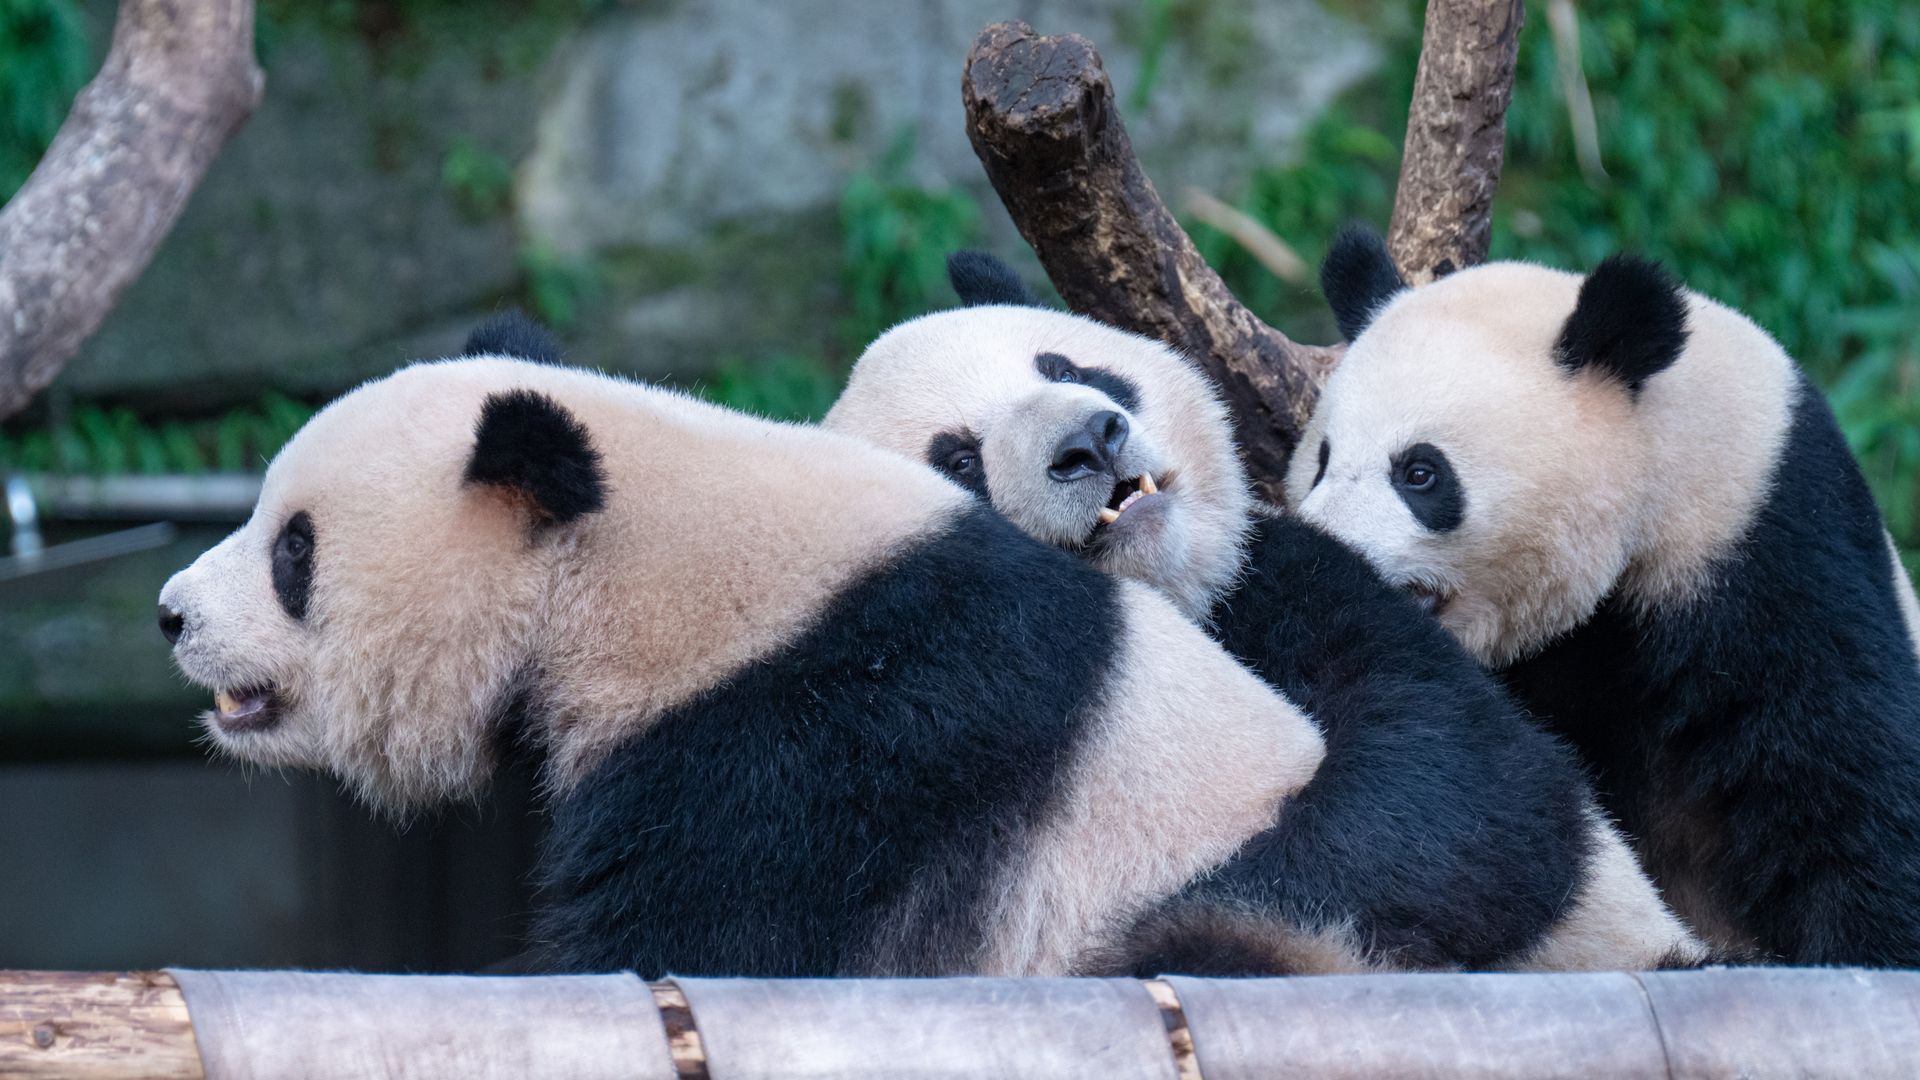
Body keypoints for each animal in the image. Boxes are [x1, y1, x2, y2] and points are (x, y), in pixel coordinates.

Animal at [822, 254, 1706, 971]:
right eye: (959, 458)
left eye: (1068, 365)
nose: (1091, 439)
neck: (1181, 596)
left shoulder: (1282, 580)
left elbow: (1468, 782)